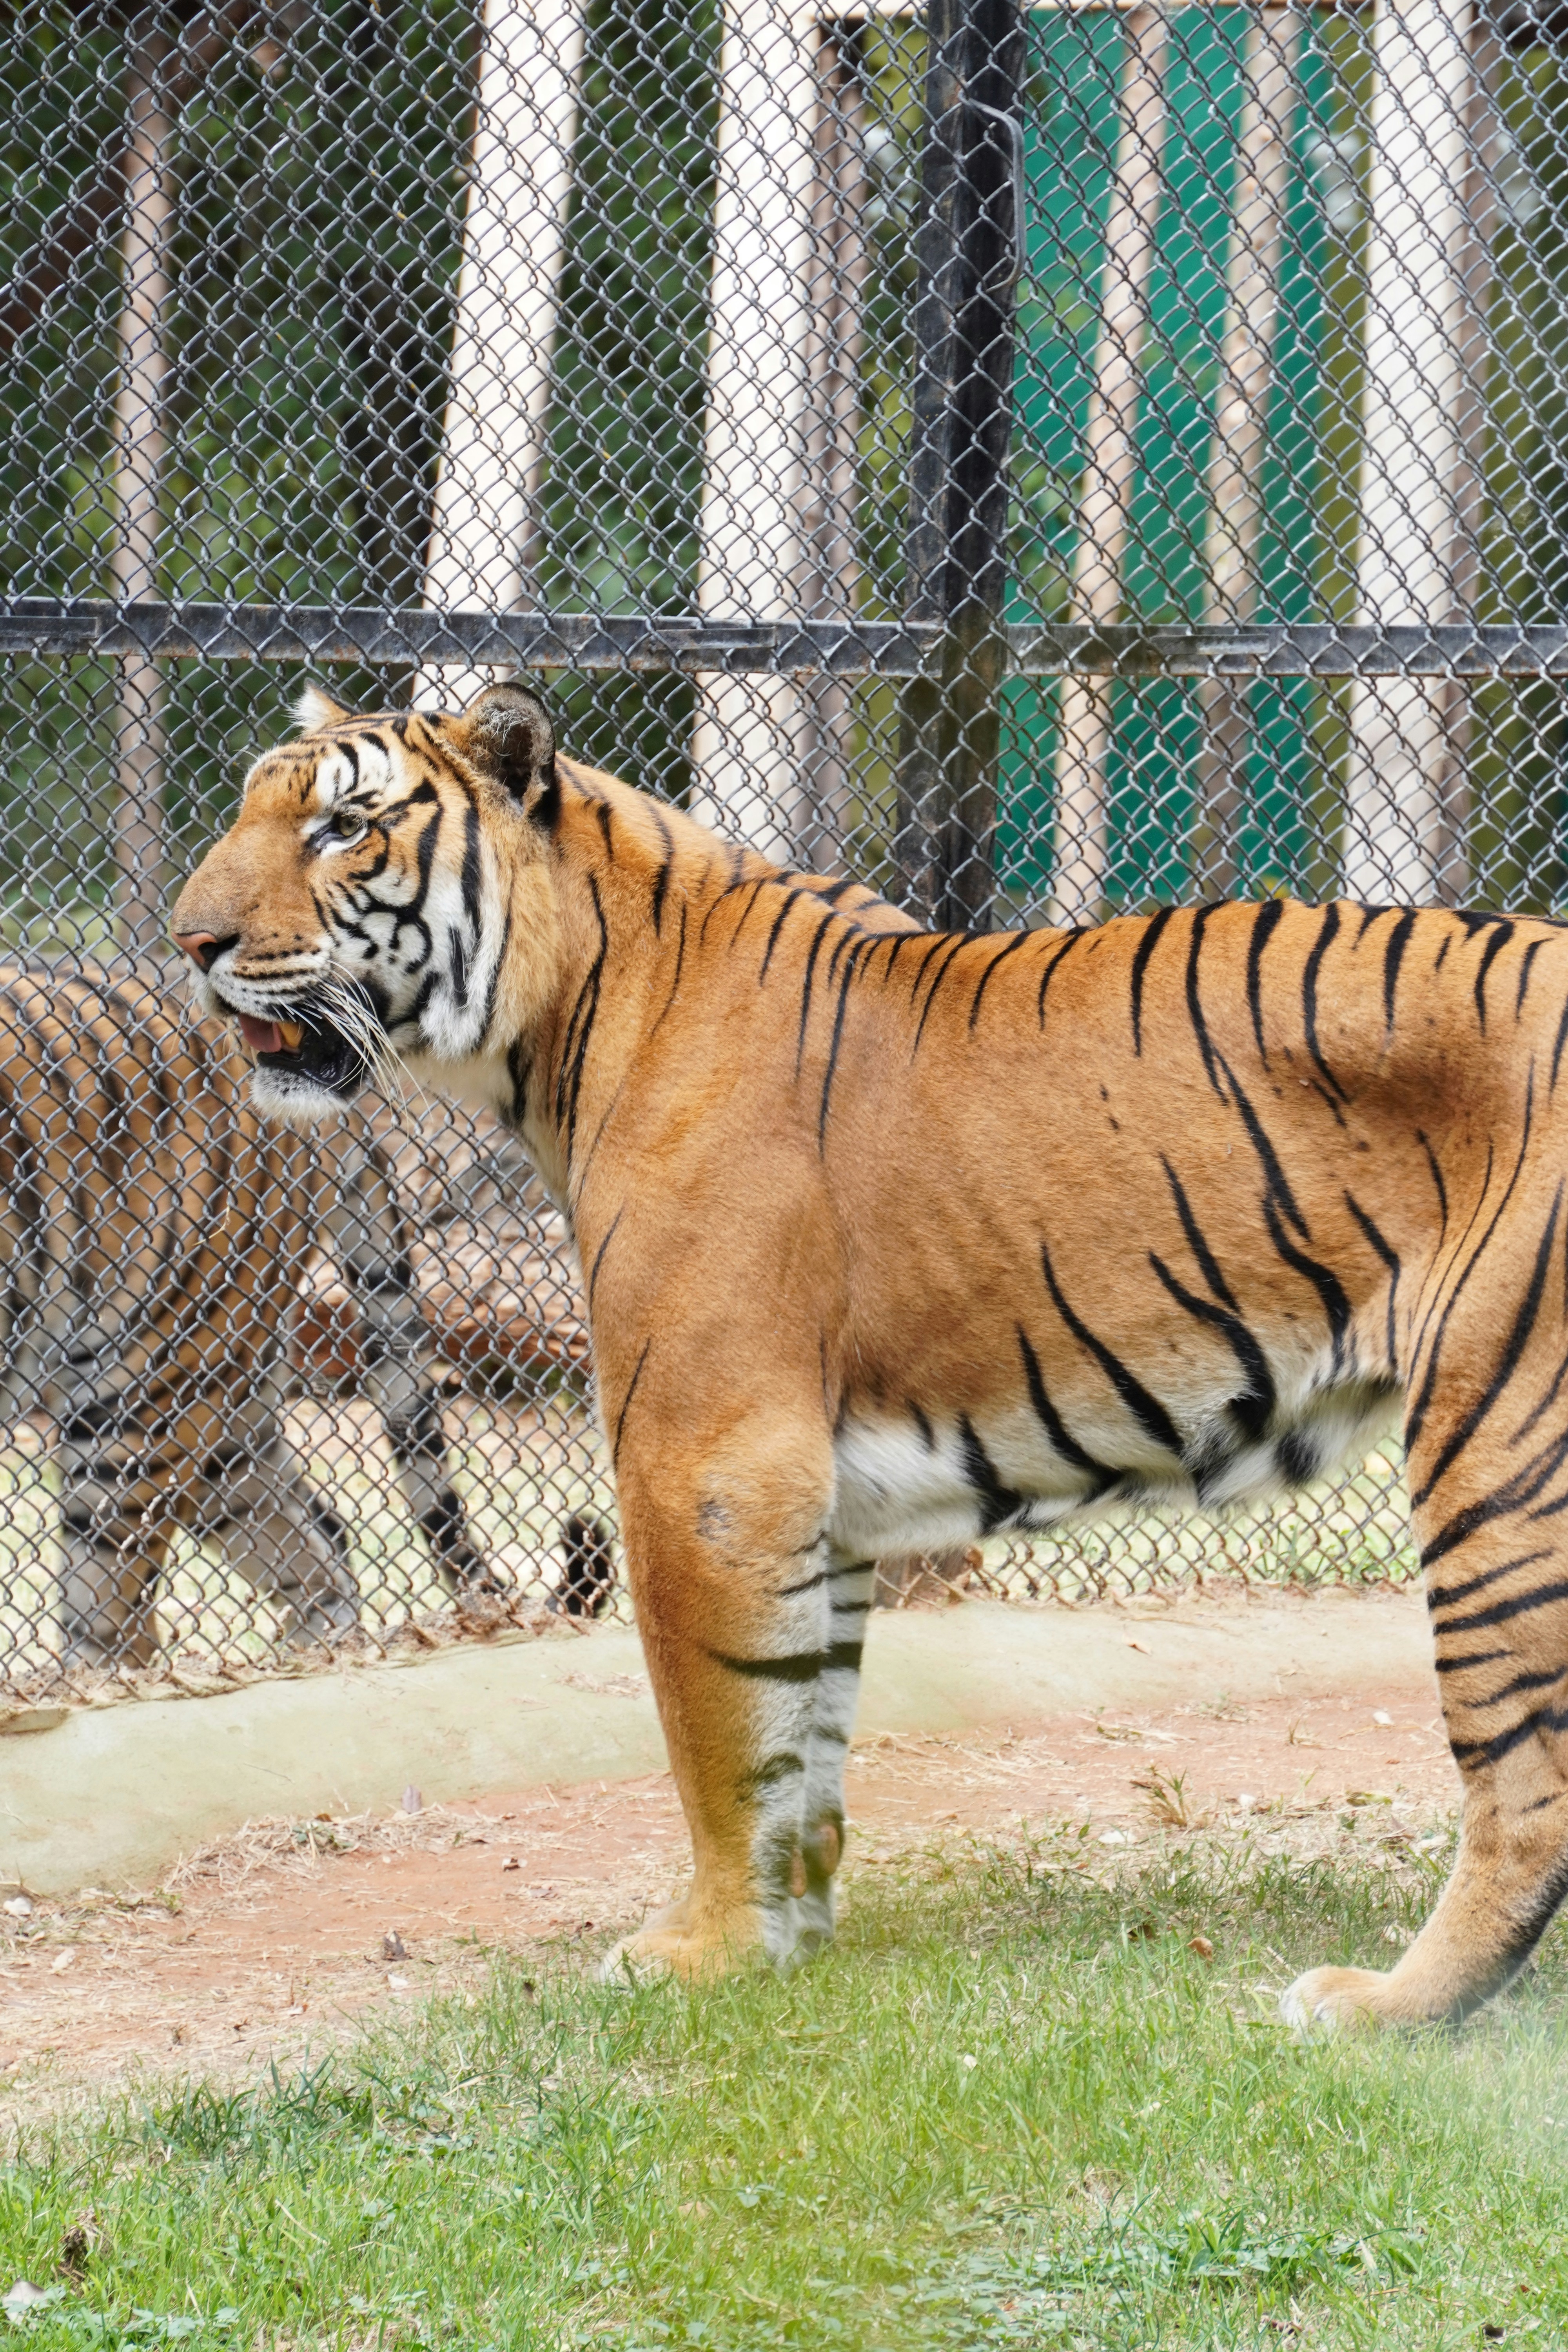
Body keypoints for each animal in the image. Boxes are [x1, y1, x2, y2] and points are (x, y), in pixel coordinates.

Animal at [0, 958, 604, 1669]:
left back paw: (94, 1680)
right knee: (318, 1535)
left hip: (139, 1397)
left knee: (119, 1598)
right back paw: (317, 1653)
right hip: (218, 1406)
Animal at [169, 677, 1568, 2032]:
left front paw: (708, 1952)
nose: (190, 944)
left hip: (1502, 1450)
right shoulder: (818, 1488)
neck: (561, 1023)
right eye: (251, 812)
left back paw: (1388, 2007)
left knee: (1526, 1782)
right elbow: (803, 1730)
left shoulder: (708, 1461)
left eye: (341, 828)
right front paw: (787, 1936)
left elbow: (720, 1736)